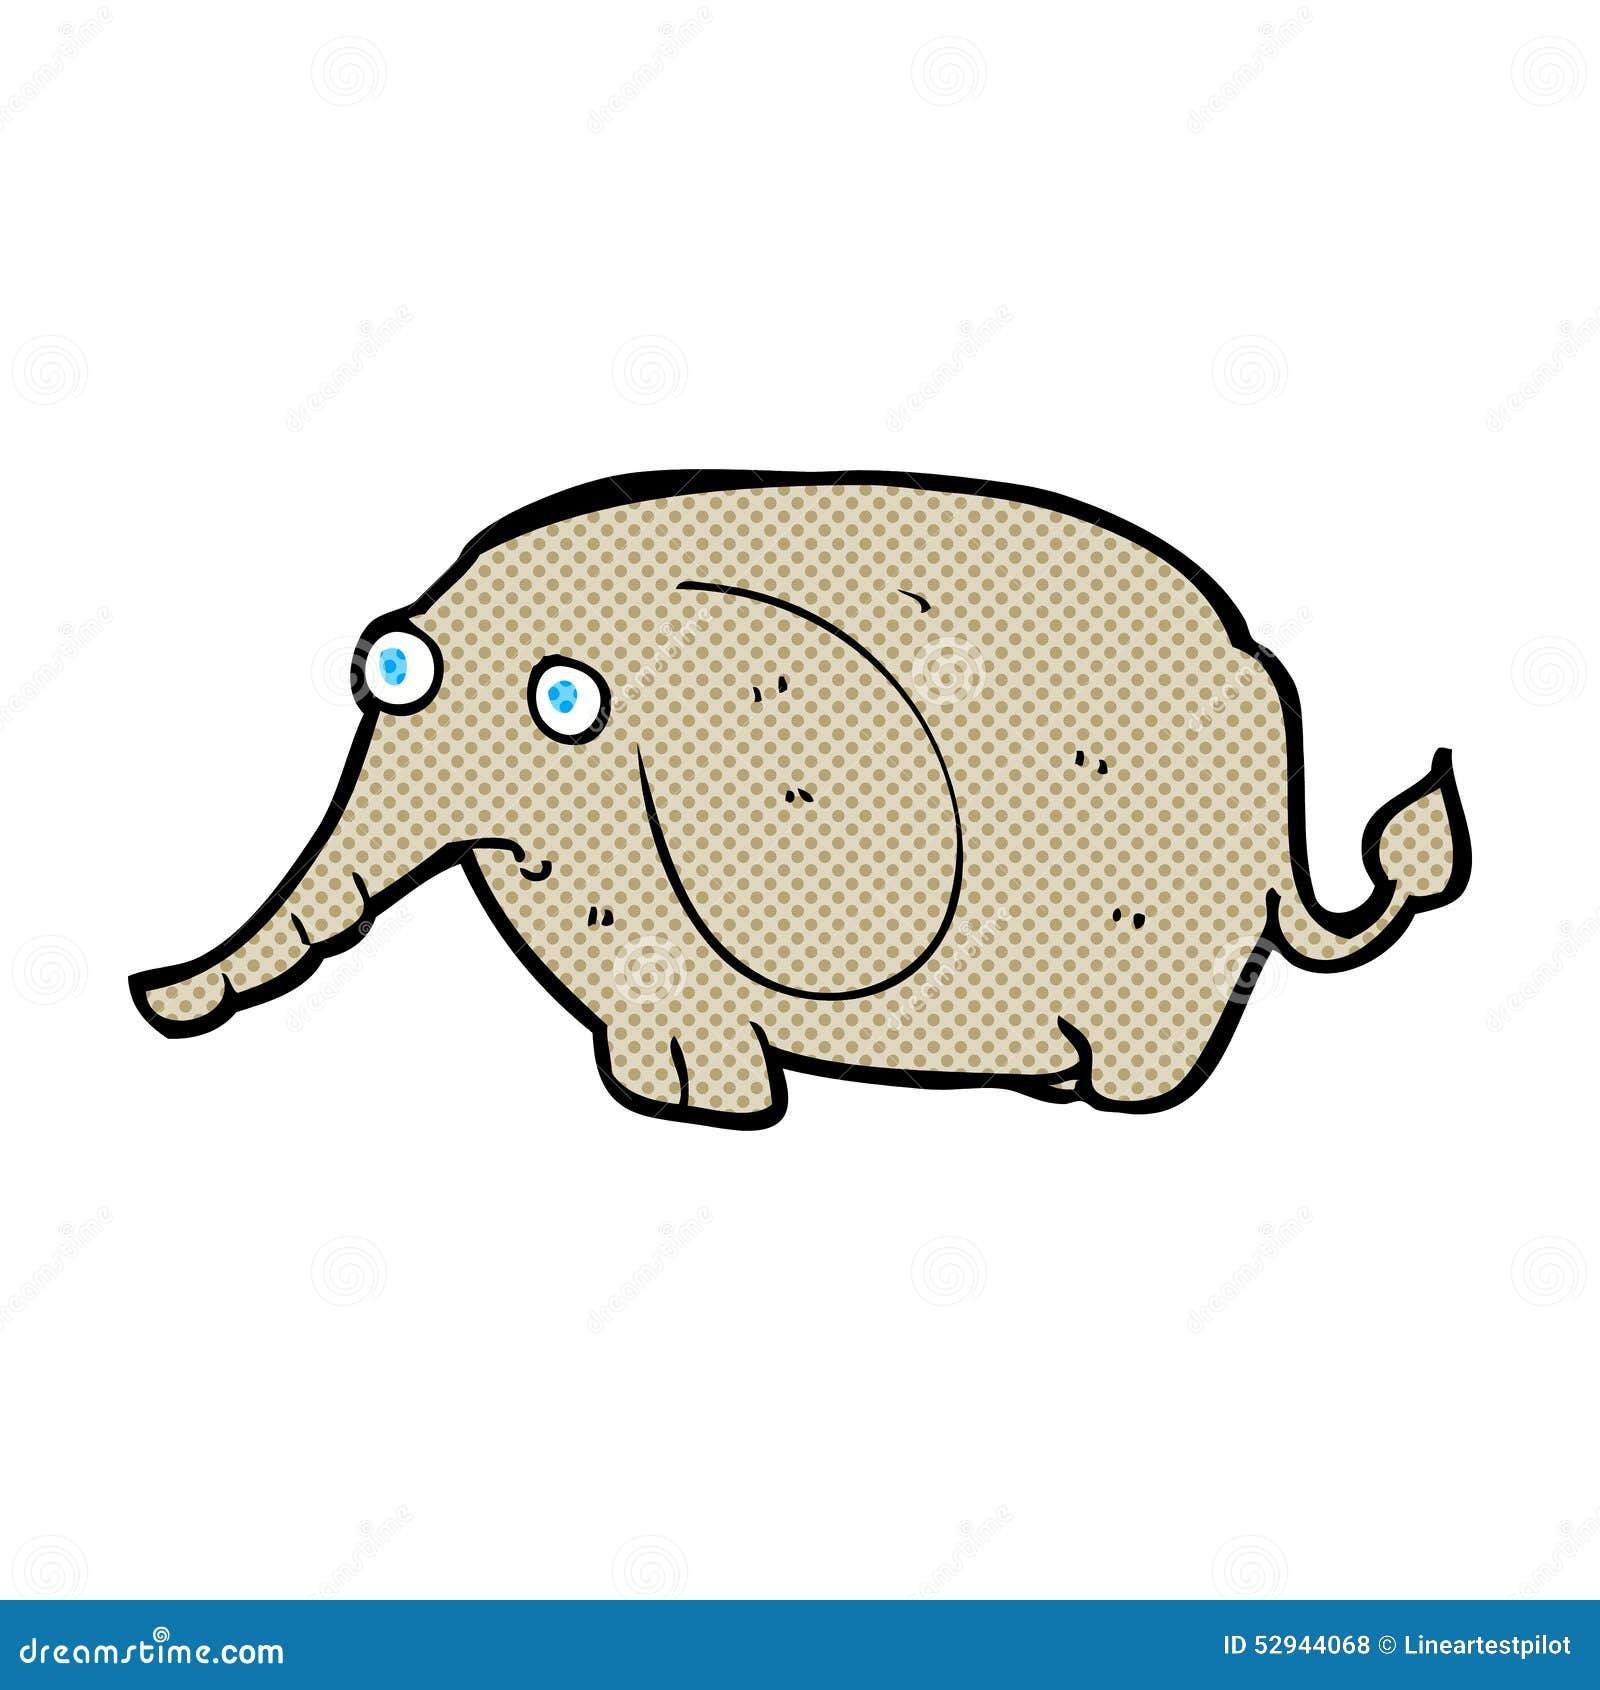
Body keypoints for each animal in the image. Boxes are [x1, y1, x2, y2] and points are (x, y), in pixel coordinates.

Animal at [130, 471, 1470, 1126]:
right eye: (389, 670)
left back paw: (1101, 1101)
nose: (151, 996)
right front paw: (673, 1104)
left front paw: (720, 1112)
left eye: (565, 702)